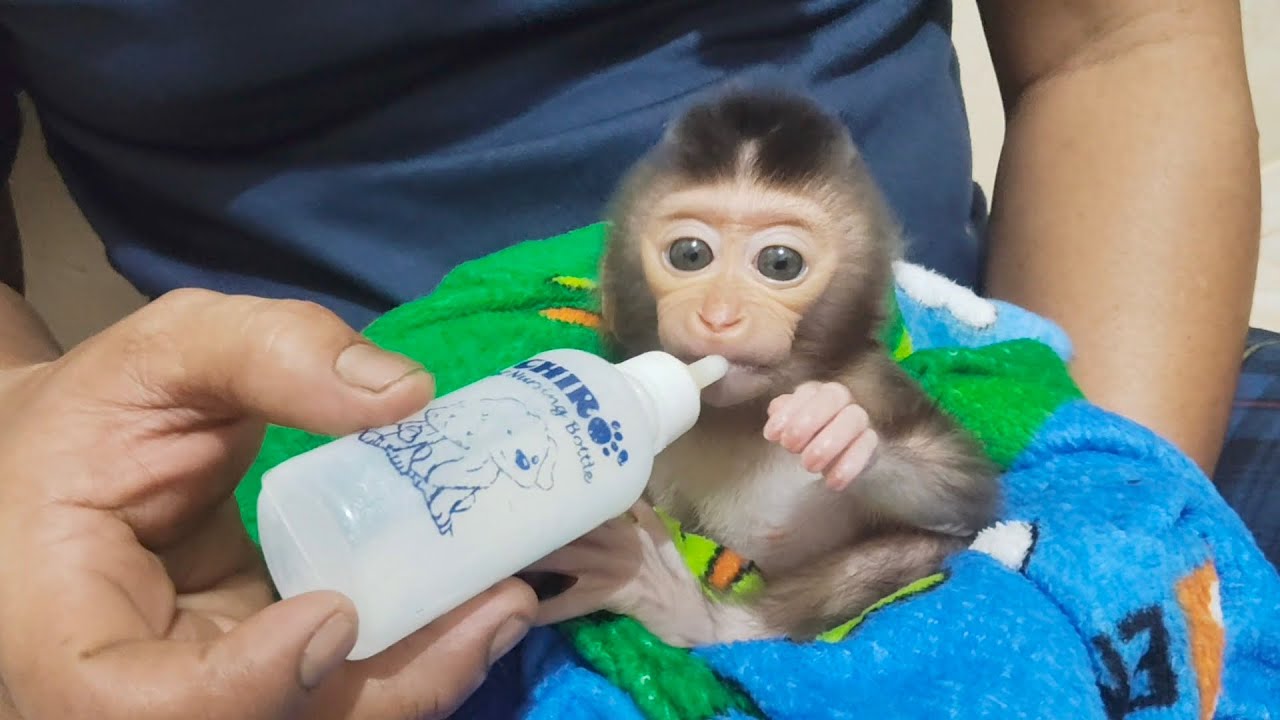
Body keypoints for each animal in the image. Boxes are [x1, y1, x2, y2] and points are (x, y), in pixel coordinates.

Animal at [526, 87, 1001, 647]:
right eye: (690, 254)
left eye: (780, 263)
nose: (720, 316)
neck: (738, 413)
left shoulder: (870, 382)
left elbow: (970, 498)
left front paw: (838, 432)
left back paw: (691, 614)